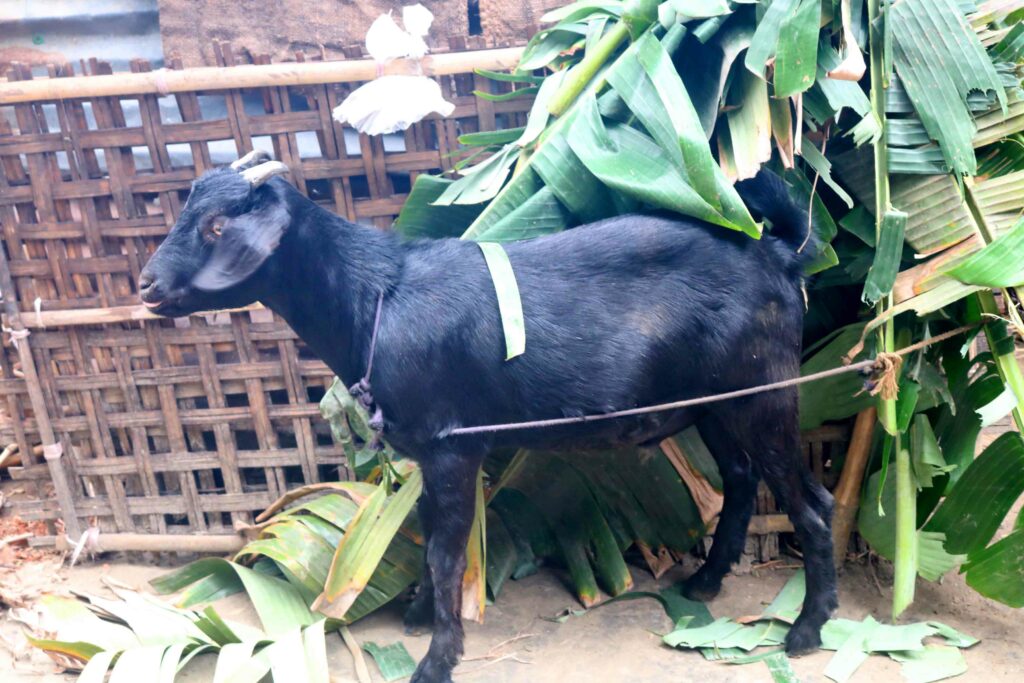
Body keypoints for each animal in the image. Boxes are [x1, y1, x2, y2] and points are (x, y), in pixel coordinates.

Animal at [139, 151, 837, 683]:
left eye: (217, 226)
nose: (146, 285)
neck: (380, 296)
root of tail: (779, 256)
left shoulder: (452, 445)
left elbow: (448, 552)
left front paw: (436, 661)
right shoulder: (428, 450)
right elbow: (426, 536)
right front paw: (420, 616)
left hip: (767, 390)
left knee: (811, 501)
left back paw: (807, 629)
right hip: (714, 403)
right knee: (741, 480)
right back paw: (706, 583)